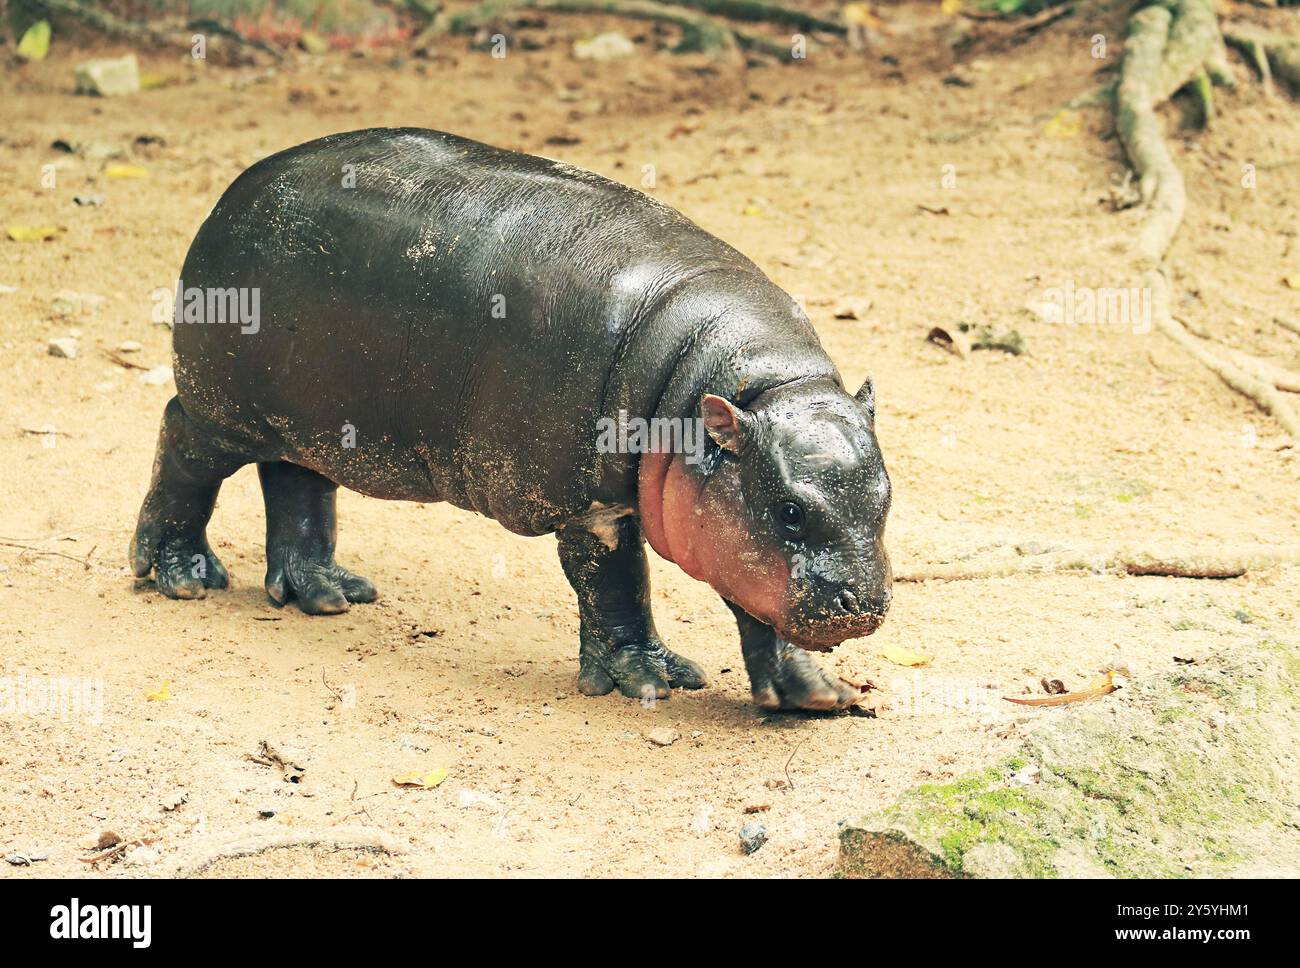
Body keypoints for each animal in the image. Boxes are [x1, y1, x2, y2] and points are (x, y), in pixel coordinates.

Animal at [131, 128, 892, 712]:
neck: (748, 383)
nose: (860, 605)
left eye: (887, 500)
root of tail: (236, 189)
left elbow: (761, 603)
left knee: (297, 482)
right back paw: (181, 575)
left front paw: (817, 696)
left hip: (309, 420)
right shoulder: (590, 504)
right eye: (790, 510)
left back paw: (328, 595)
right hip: (220, 408)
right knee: (181, 448)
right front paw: (647, 681)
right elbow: (616, 583)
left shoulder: (732, 521)